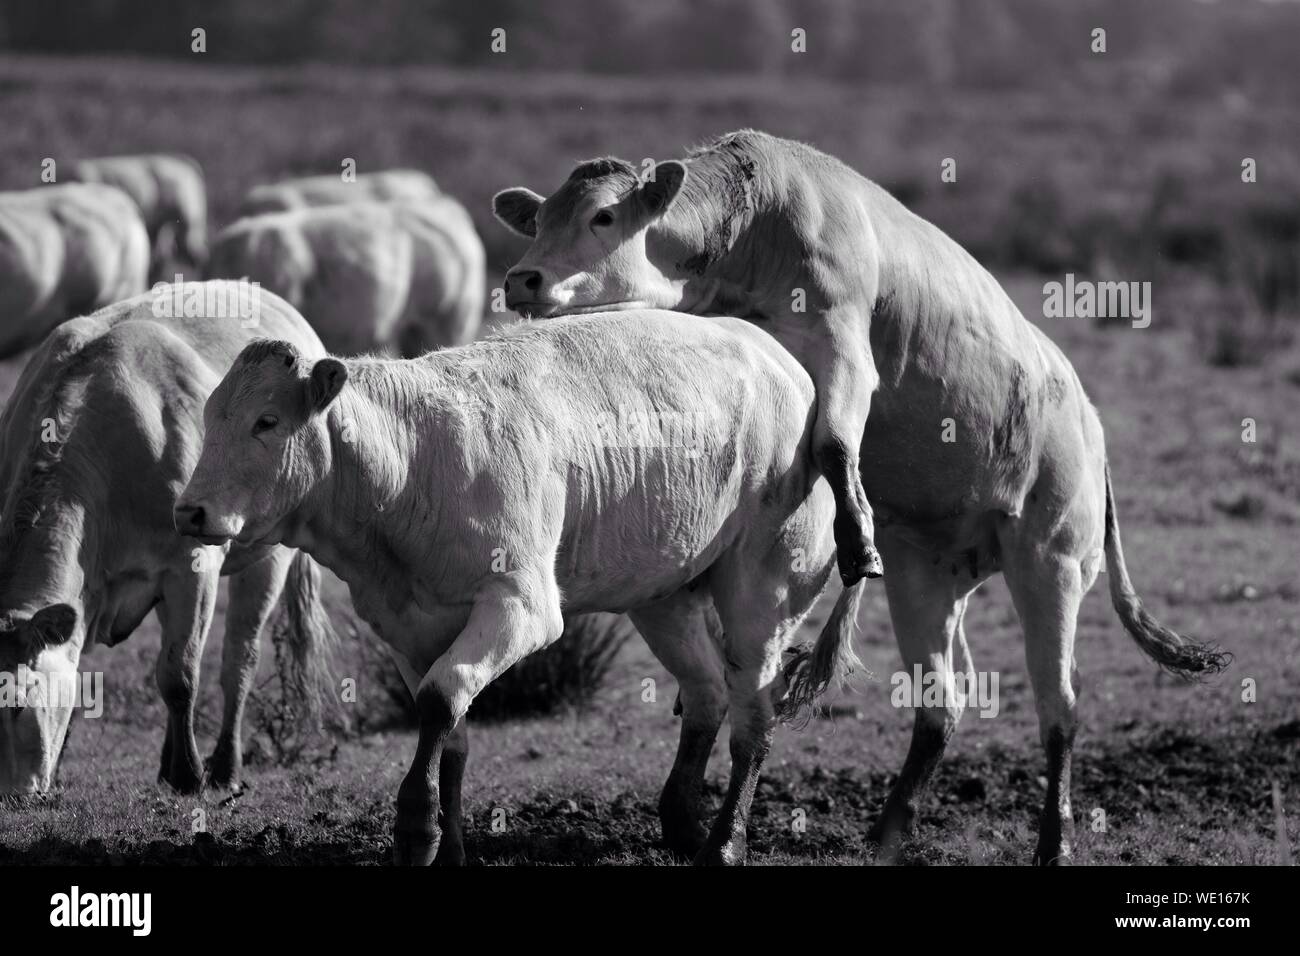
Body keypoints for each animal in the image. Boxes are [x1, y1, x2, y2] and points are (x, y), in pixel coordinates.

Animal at [0, 282, 333, 796]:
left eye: (18, 701)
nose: (11, 794)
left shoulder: (191, 565)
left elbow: (179, 676)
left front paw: (188, 774)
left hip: (268, 558)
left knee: (238, 658)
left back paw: (224, 767)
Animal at [175, 310, 867, 865]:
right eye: (210, 418)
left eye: (266, 421)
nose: (189, 512)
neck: (414, 461)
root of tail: (786, 366)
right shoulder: (405, 627)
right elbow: (447, 725)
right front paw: (451, 845)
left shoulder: (521, 606)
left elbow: (441, 698)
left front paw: (416, 830)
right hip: (662, 597)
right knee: (705, 695)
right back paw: (680, 825)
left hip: (764, 591)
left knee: (753, 714)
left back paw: (725, 843)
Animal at [491, 129, 1228, 864]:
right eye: (542, 218)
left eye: (604, 216)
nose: (522, 279)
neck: (757, 223)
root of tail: (1090, 422)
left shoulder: (843, 350)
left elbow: (835, 445)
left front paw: (854, 536)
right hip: (927, 579)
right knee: (940, 707)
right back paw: (890, 829)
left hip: (1052, 565)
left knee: (1062, 708)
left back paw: (1057, 839)